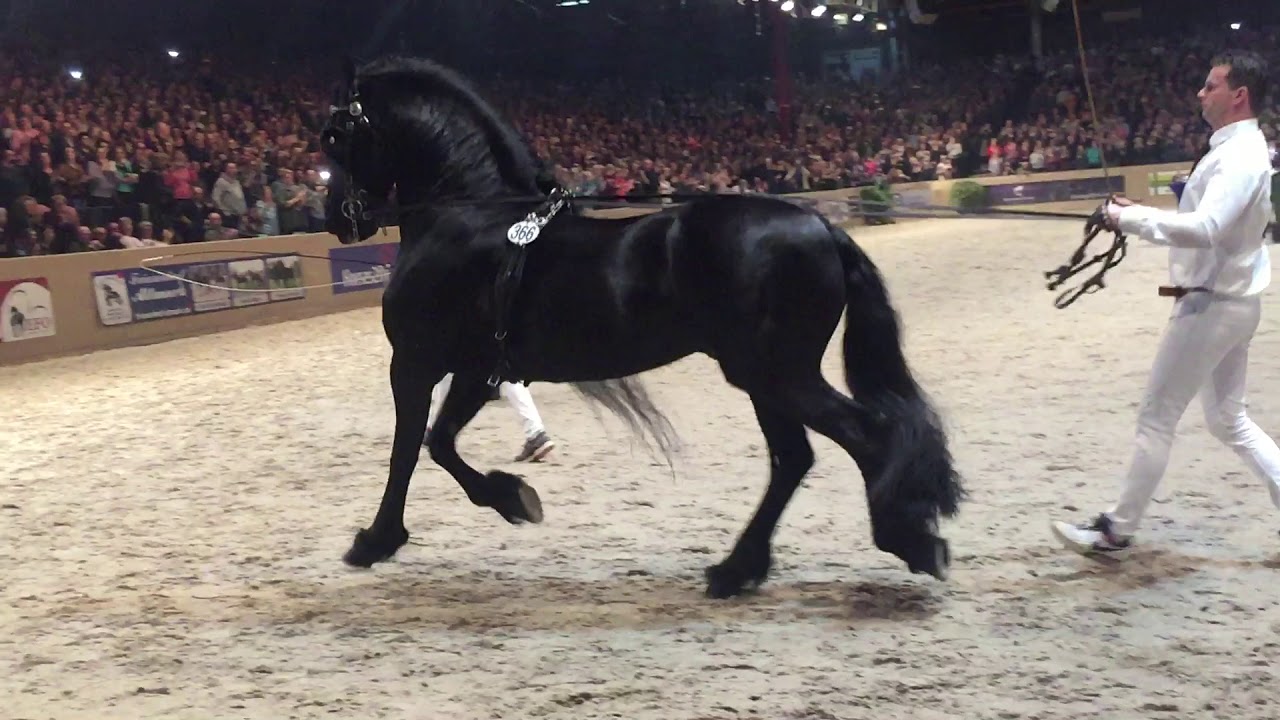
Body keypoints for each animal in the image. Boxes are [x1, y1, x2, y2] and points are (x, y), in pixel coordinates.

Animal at [320, 55, 965, 598]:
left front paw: (376, 541)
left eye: (332, 136)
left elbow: (410, 449)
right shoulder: (479, 370)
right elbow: (439, 443)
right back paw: (738, 569)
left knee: (861, 437)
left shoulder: (416, 364)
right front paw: (513, 498)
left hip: (777, 375)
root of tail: (819, 225)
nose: (339, 221)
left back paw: (906, 540)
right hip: (765, 379)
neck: (468, 217)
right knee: (794, 459)